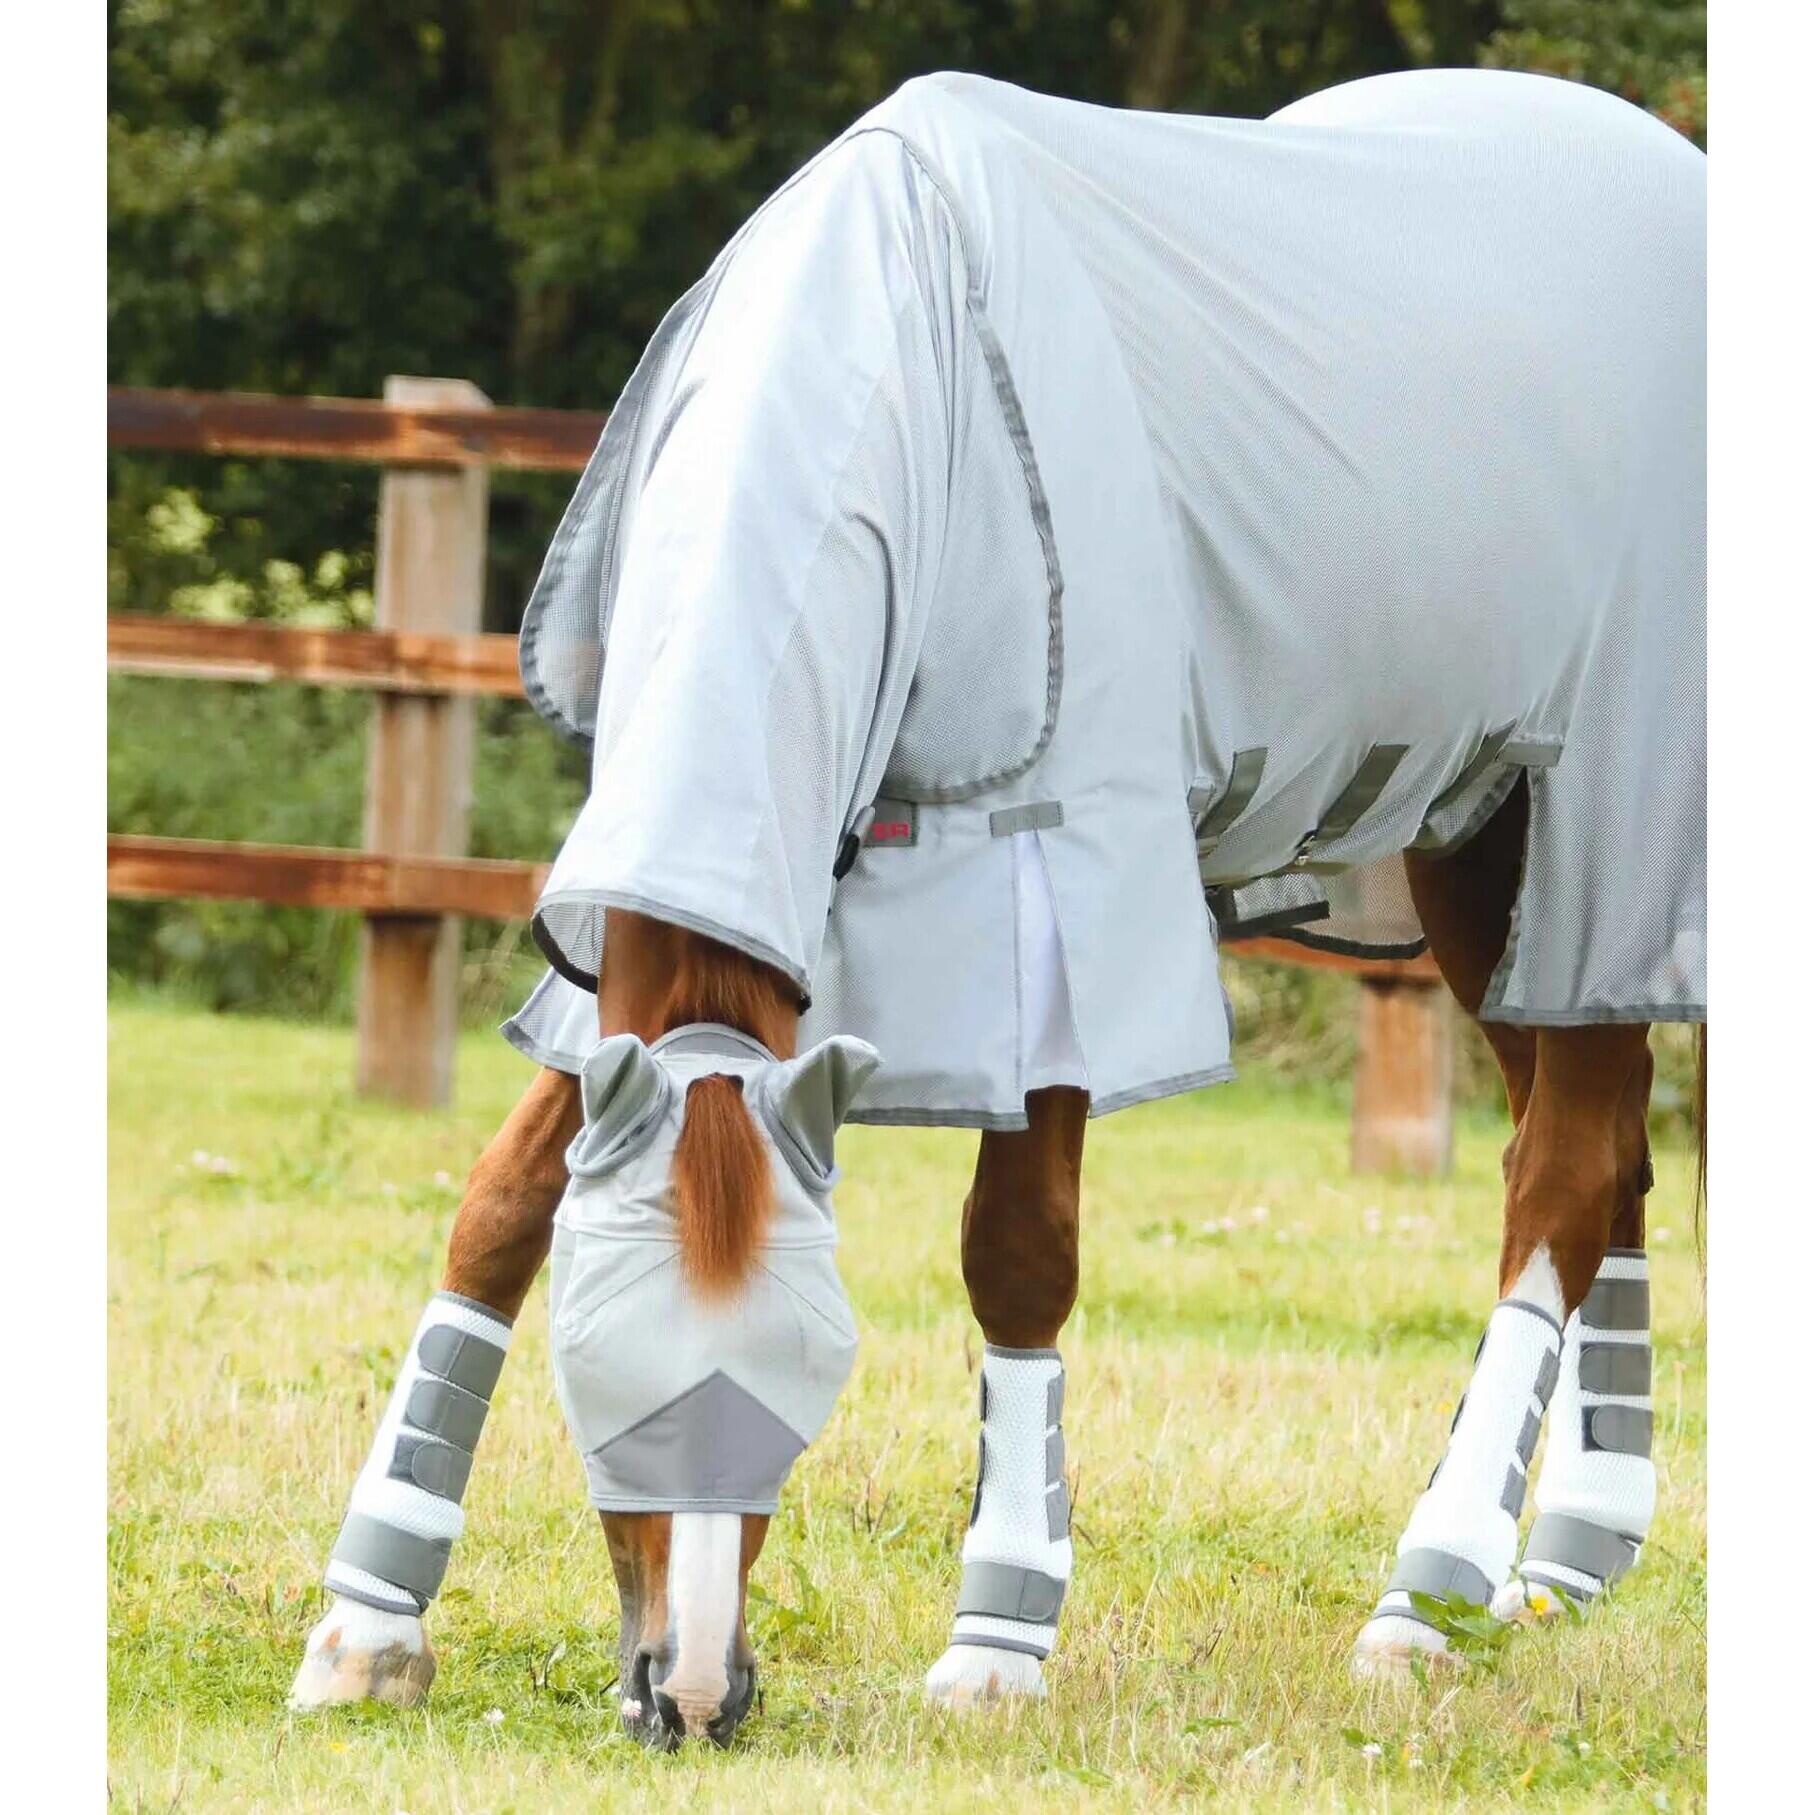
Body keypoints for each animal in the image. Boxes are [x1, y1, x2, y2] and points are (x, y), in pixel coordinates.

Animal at [289, 68, 1704, 1744]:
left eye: (806, 1368)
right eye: (600, 1366)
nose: (690, 1692)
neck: (889, 371)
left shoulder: (1055, 897)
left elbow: (1015, 1249)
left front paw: (995, 1640)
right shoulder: (695, 916)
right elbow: (500, 1205)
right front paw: (366, 1621)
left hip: (1606, 825)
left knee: (1558, 1174)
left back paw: (1426, 1596)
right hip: (1479, 852)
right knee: (1598, 1162)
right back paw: (1562, 1558)